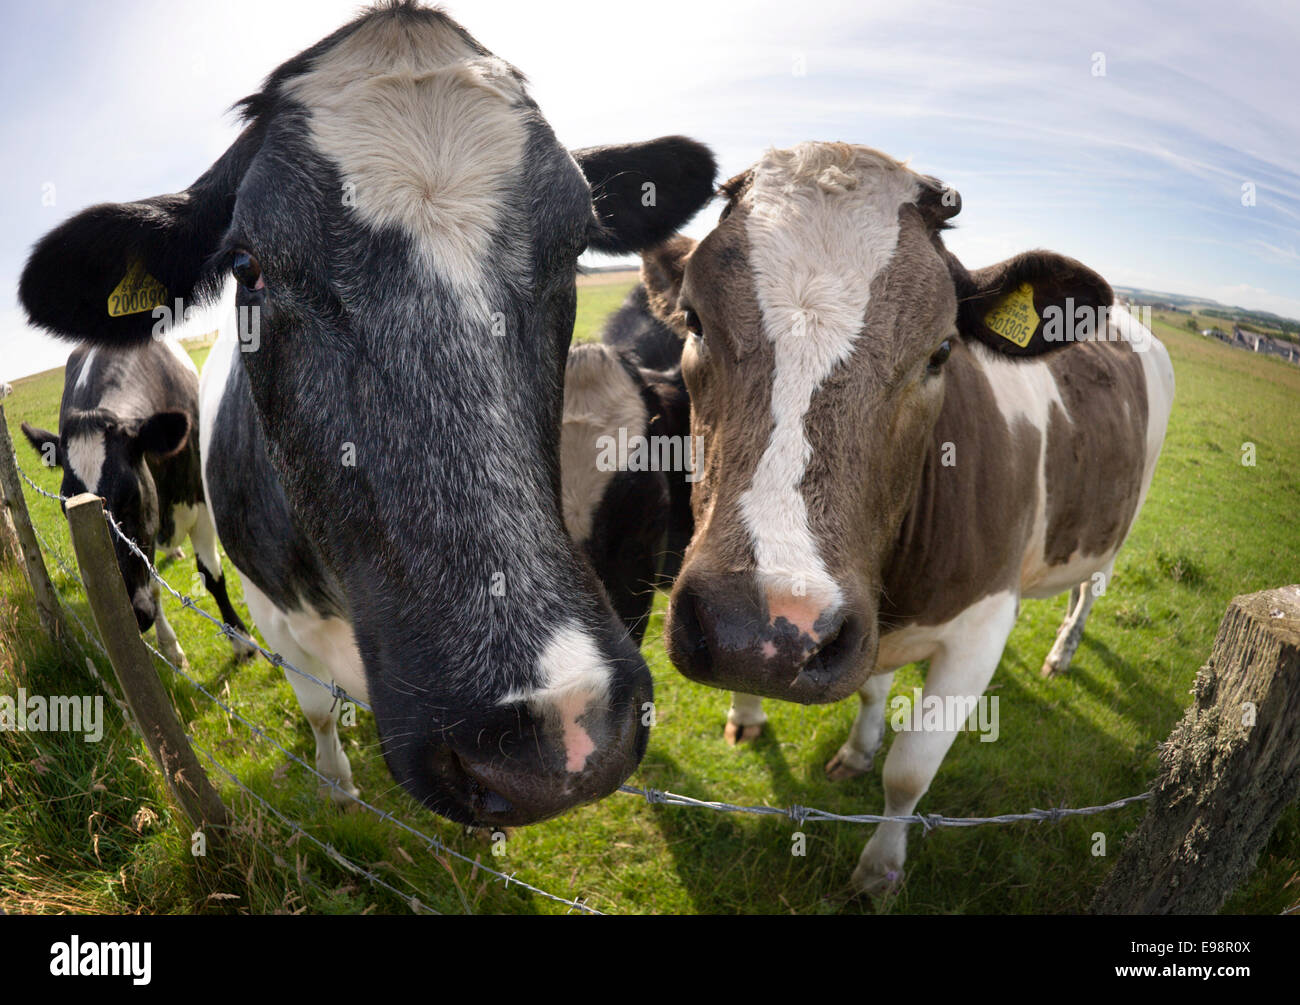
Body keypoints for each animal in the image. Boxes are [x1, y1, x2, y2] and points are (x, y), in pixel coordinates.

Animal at [19, 339, 255, 669]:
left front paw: (241, 642)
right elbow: (153, 584)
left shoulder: (202, 506)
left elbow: (211, 575)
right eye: (65, 507)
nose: (132, 614)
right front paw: (170, 646)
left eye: (132, 495)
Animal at [640, 142, 1175, 894]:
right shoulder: (868, 622)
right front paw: (856, 752)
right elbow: (872, 694)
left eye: (941, 349)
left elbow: (911, 770)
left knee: (1091, 589)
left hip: (1122, 516)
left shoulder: (983, 627)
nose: (758, 633)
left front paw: (879, 870)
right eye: (692, 321)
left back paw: (1064, 651)